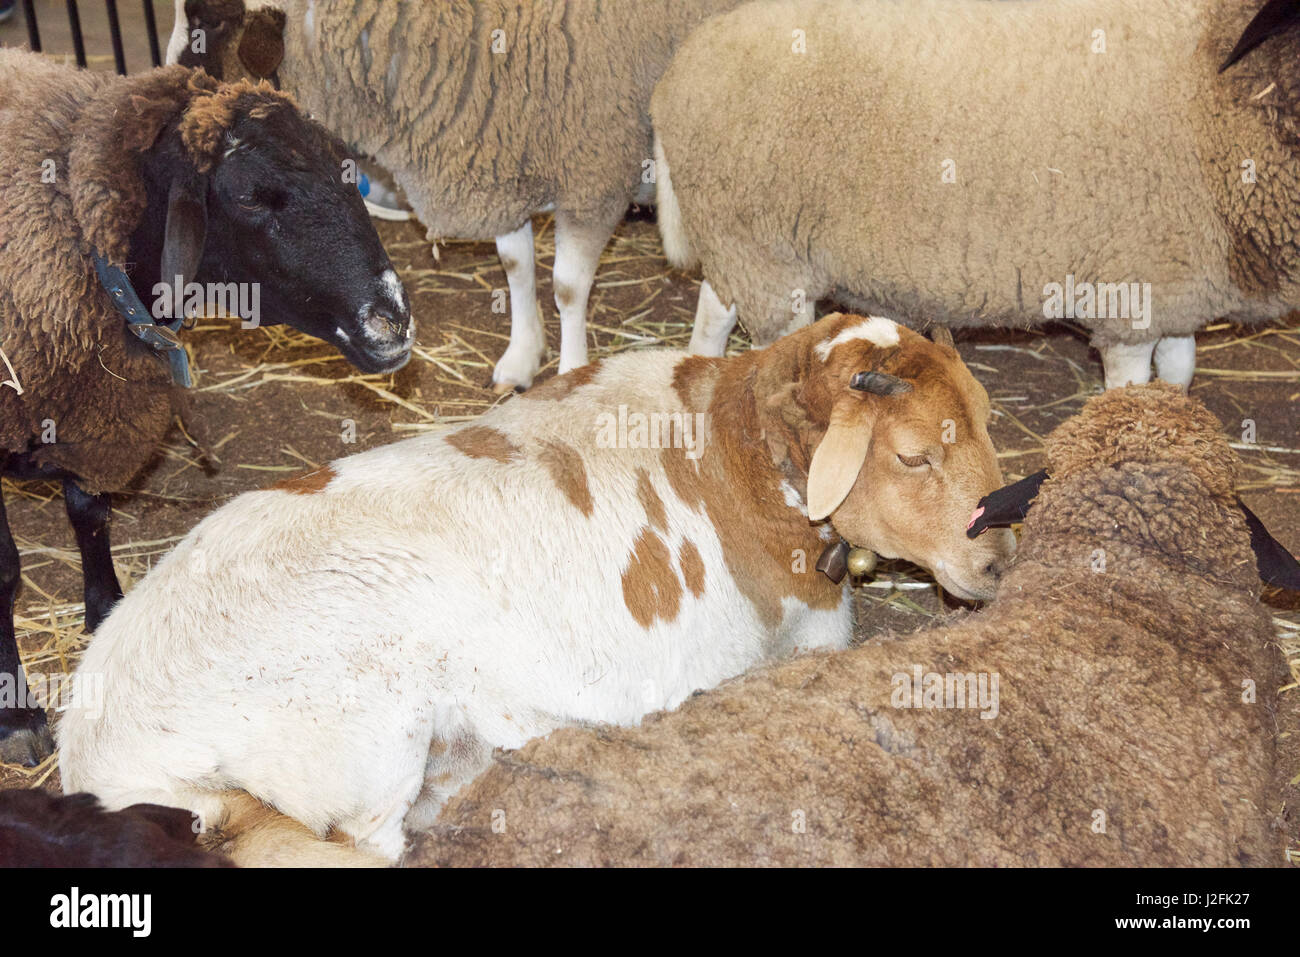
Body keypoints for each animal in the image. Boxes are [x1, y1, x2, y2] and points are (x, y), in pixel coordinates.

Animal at [0, 49, 412, 767]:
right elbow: (4, 570)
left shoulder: (90, 404)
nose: (392, 322)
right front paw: (16, 715)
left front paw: (108, 613)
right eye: (249, 195)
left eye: (351, 178)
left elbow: (89, 511)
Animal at [57, 312, 1016, 863]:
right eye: (913, 456)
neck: (737, 458)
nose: (998, 562)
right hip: (360, 741)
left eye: (981, 419)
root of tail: (99, 745)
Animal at [168, 0, 747, 393]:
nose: (174, 101)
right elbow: (516, 265)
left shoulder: (594, 176)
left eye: (208, 20)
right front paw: (521, 358)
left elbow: (566, 288)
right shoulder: (499, 156)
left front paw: (570, 372)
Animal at [651, 0, 1300, 389]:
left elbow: (1180, 370)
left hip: (743, 245)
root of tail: (676, 73)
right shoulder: (1131, 289)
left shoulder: (1178, 283)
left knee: (712, 314)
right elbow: (1131, 391)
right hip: (763, 252)